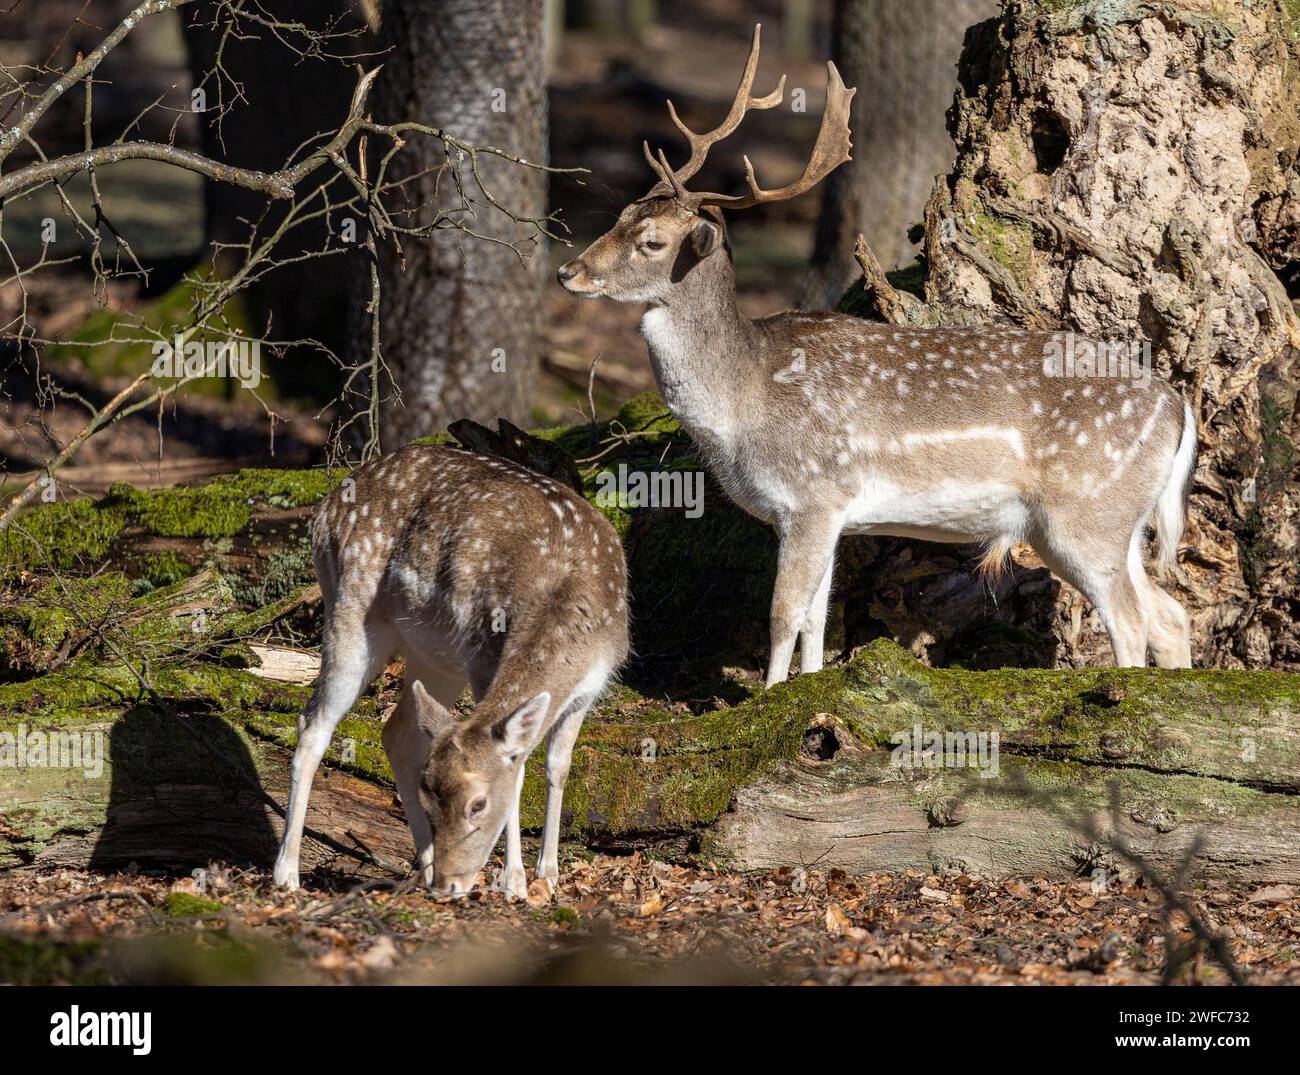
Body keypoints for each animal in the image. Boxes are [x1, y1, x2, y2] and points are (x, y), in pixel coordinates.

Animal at [272, 445, 629, 897]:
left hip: (433, 655)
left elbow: (558, 767)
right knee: (313, 725)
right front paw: (514, 882)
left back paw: (423, 868)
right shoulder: (483, 660)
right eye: (434, 799)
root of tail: (322, 510)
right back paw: (287, 873)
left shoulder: (588, 690)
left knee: (398, 733)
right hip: (348, 607)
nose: (450, 882)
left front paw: (548, 874)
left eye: (477, 803)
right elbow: (520, 767)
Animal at [558, 24, 1195, 684]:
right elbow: (816, 619)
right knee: (1171, 615)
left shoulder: (812, 493)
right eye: (619, 215)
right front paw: (809, 685)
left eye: (652, 242)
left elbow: (783, 614)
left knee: (1131, 620)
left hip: (1085, 512)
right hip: (1110, 523)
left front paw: (769, 694)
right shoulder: (830, 514)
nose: (568, 272)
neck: (742, 401)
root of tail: (1179, 406)